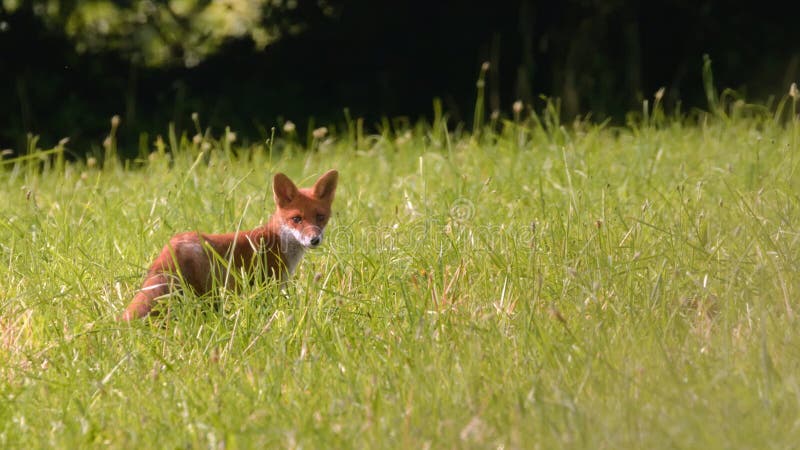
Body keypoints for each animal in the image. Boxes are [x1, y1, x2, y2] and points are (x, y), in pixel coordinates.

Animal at [119, 169, 338, 321]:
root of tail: (170, 248)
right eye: (297, 219)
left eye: (320, 217)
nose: (314, 240)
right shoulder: (268, 284)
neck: (277, 240)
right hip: (206, 293)